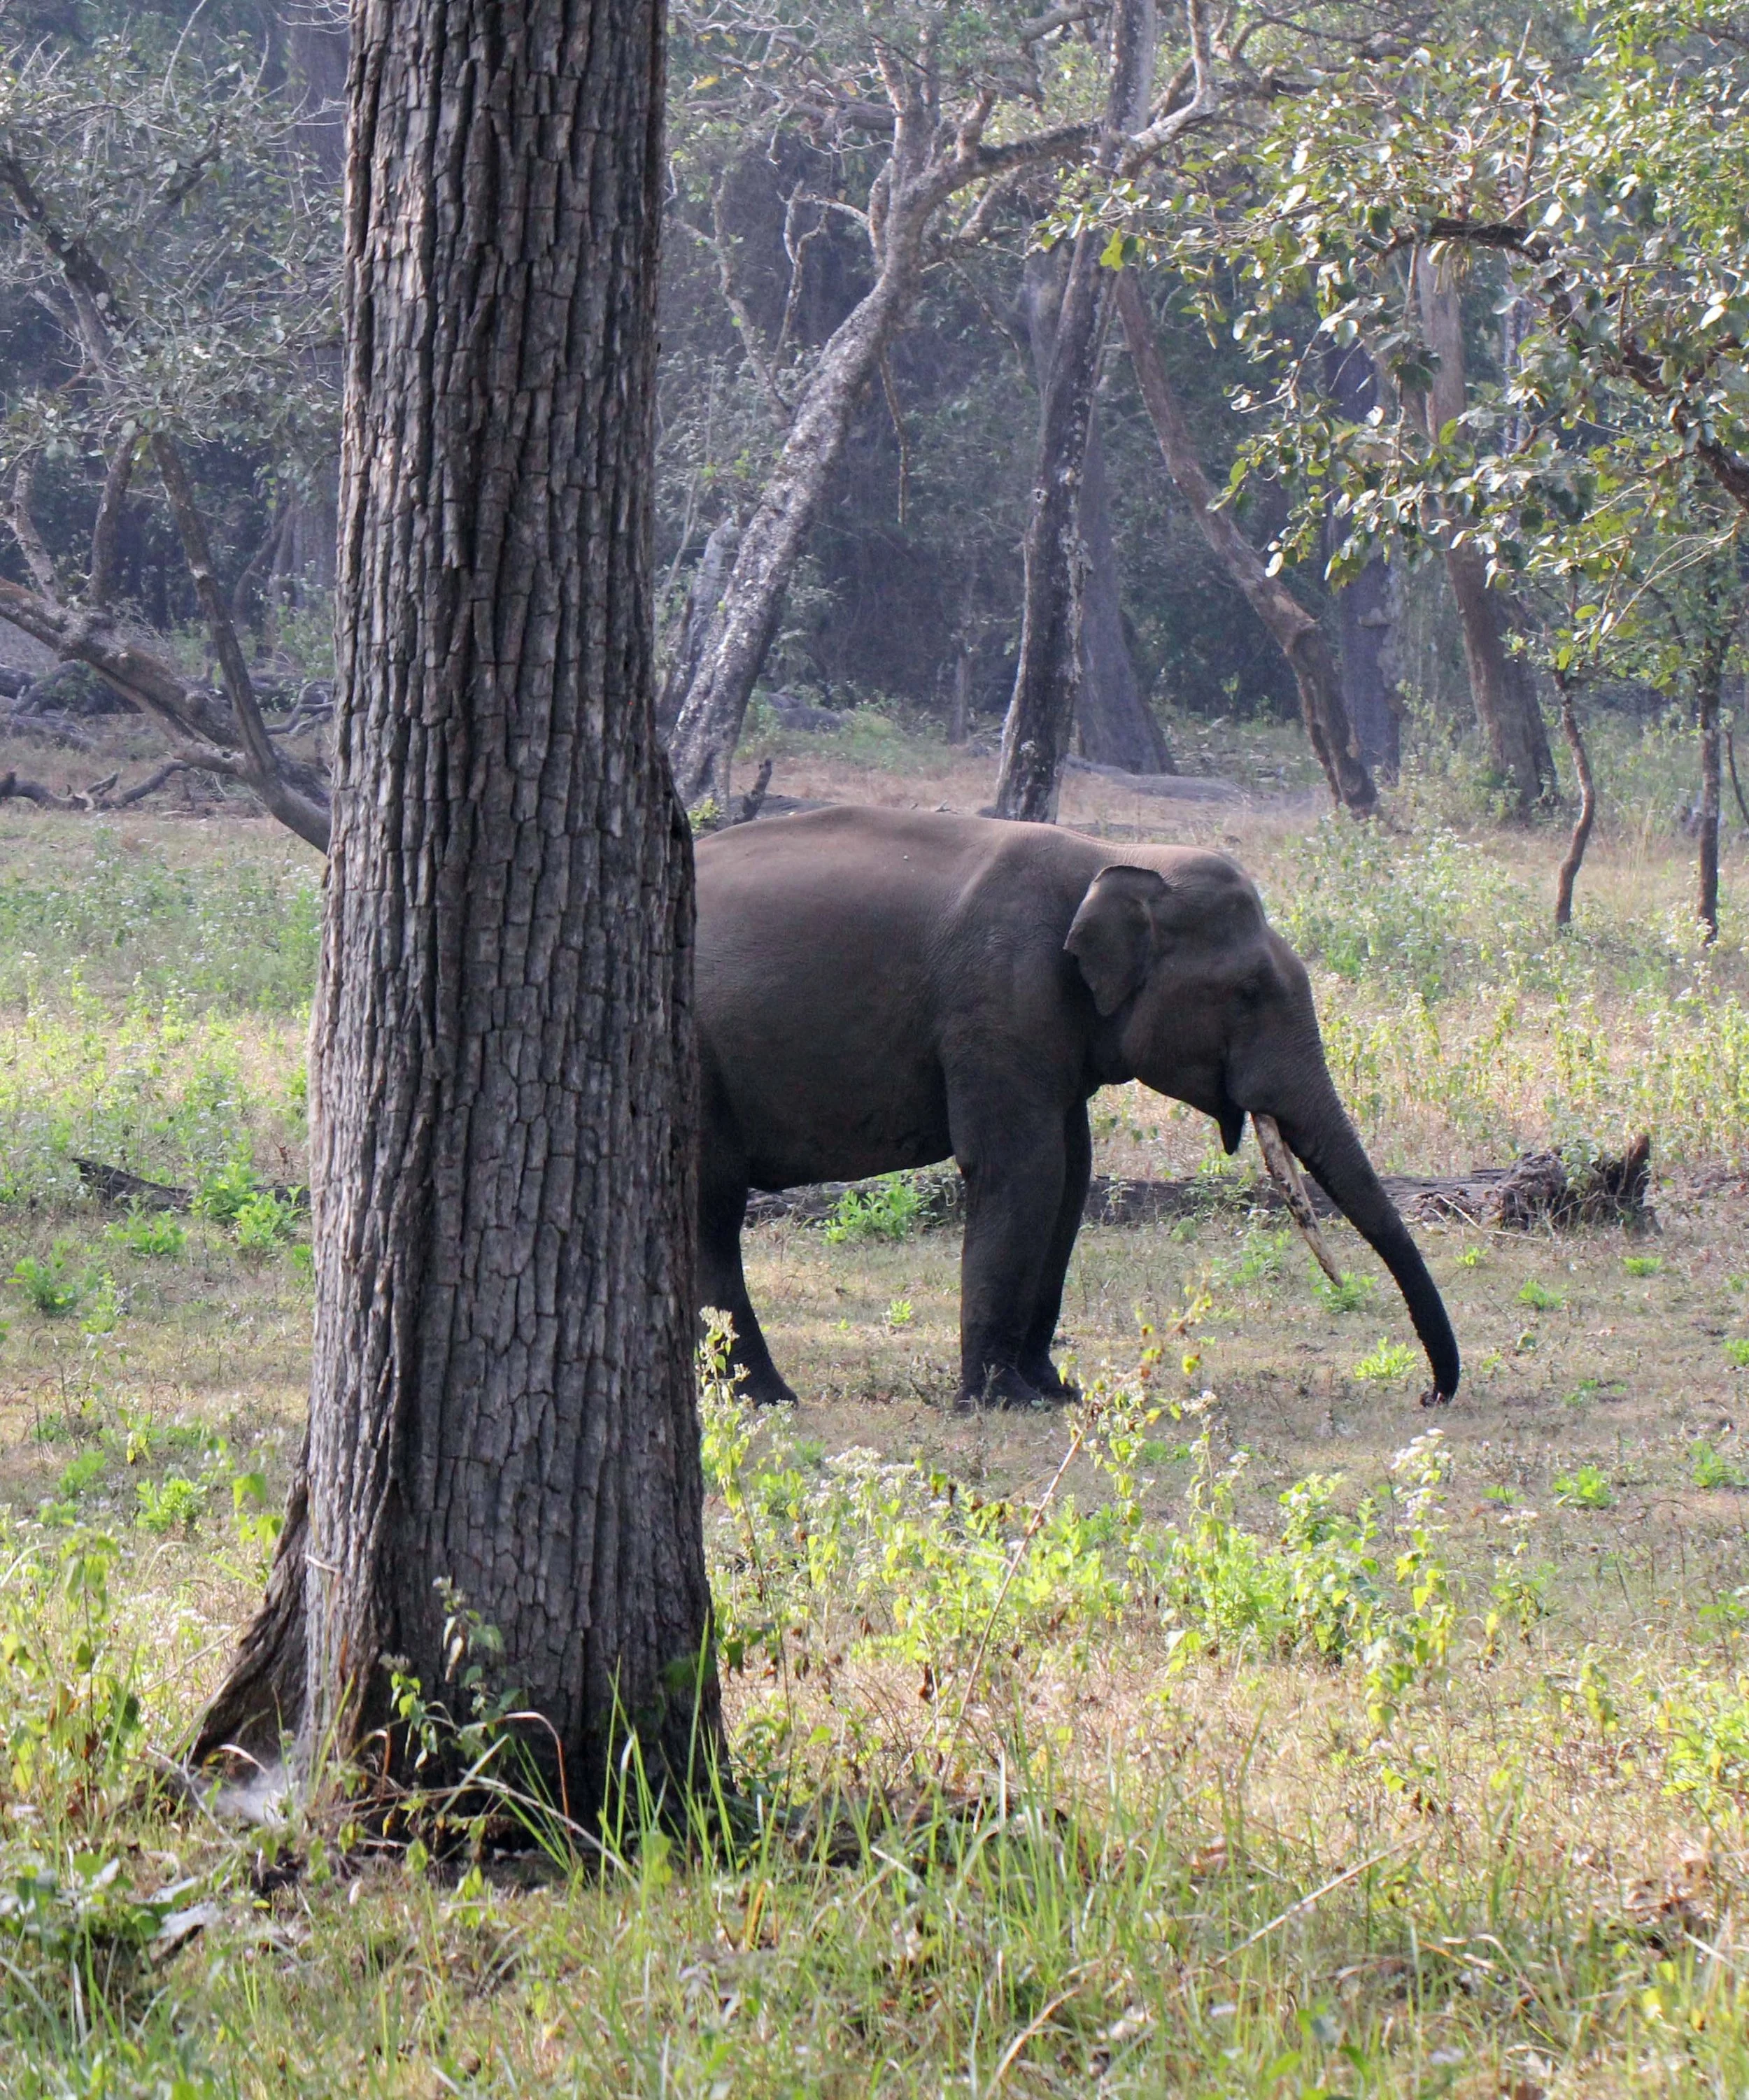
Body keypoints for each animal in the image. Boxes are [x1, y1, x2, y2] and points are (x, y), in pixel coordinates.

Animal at [695, 805, 1459, 1410]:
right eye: (1247, 993)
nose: (1429, 1395)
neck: (1108, 858)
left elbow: (1071, 1176)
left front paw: (1058, 1390)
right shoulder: (1000, 1004)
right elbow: (1023, 1170)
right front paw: (1006, 1402)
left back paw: (758, 1398)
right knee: (711, 1208)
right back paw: (769, 1398)